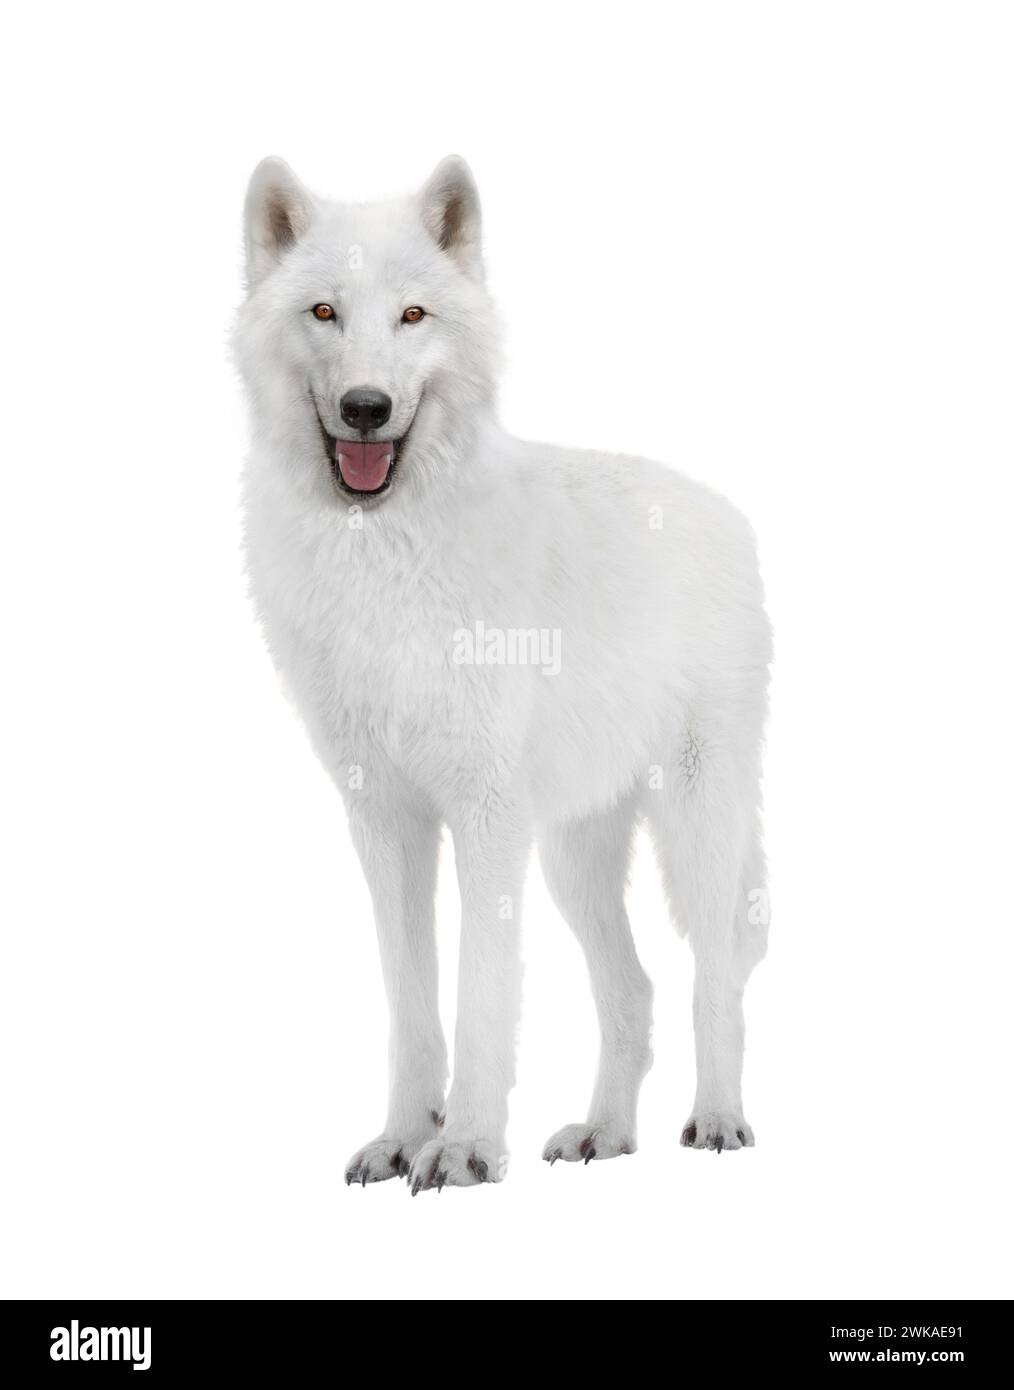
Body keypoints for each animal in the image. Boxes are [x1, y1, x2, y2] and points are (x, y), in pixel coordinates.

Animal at [234, 156, 772, 1193]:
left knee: (716, 978)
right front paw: (402, 1136)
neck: (385, 560)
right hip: (571, 854)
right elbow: (411, 1005)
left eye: (413, 316)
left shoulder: (485, 815)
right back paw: (604, 1134)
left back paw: (721, 1120)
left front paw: (468, 1147)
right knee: (634, 991)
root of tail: (725, 513)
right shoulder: (385, 820)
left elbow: (482, 996)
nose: (366, 407)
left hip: (694, 828)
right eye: (324, 311)